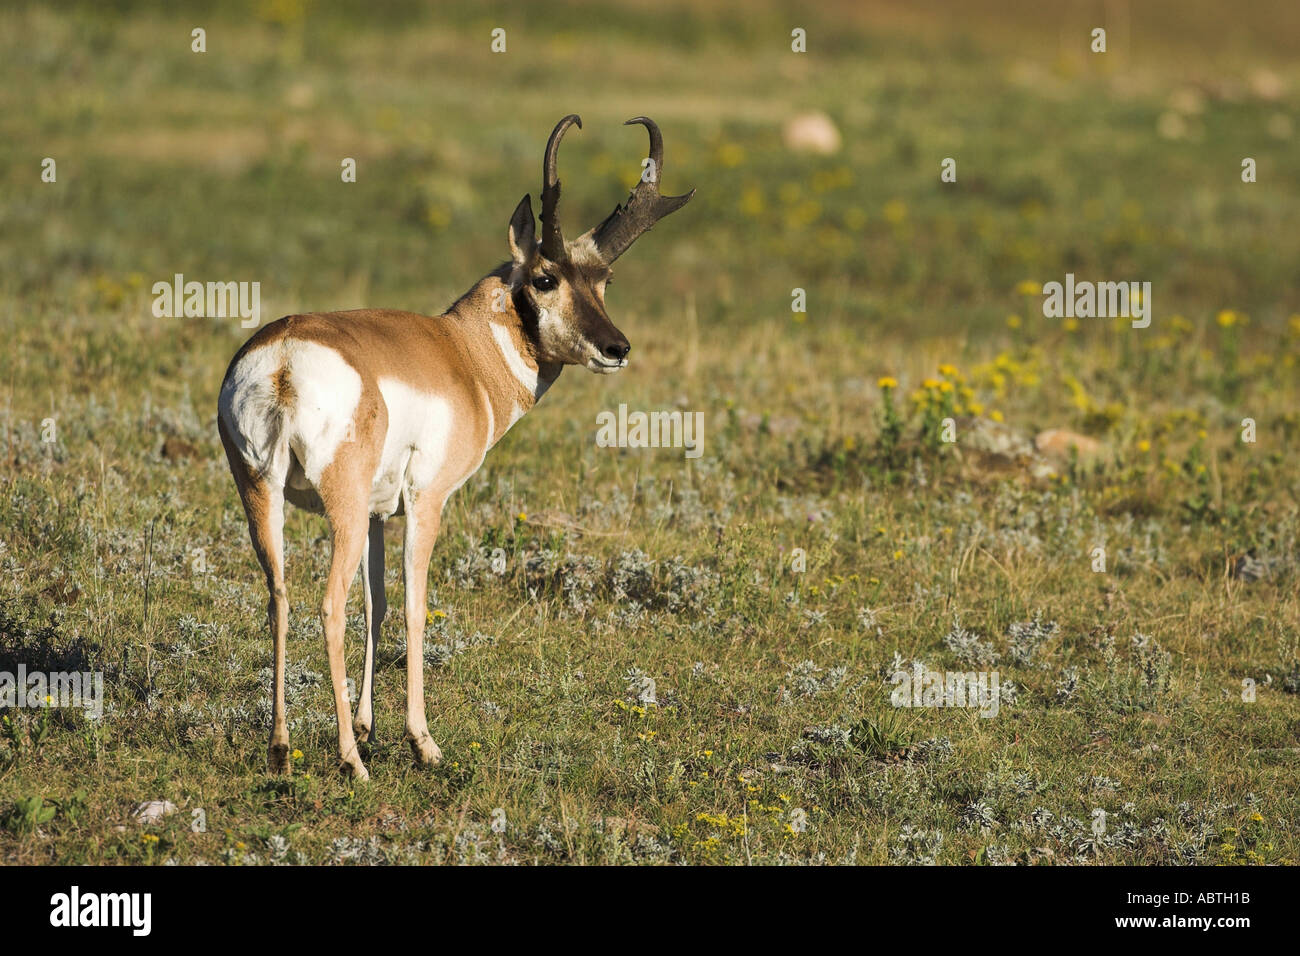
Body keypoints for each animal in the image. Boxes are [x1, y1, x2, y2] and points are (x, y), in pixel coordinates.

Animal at [218, 116, 692, 780]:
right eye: (546, 278)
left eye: (604, 280)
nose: (616, 348)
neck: (463, 353)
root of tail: (285, 353)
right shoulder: (427, 502)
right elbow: (414, 606)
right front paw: (421, 742)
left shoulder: (378, 515)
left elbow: (379, 605)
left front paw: (366, 725)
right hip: (338, 508)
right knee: (329, 606)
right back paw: (350, 764)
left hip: (263, 495)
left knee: (279, 597)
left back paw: (282, 749)